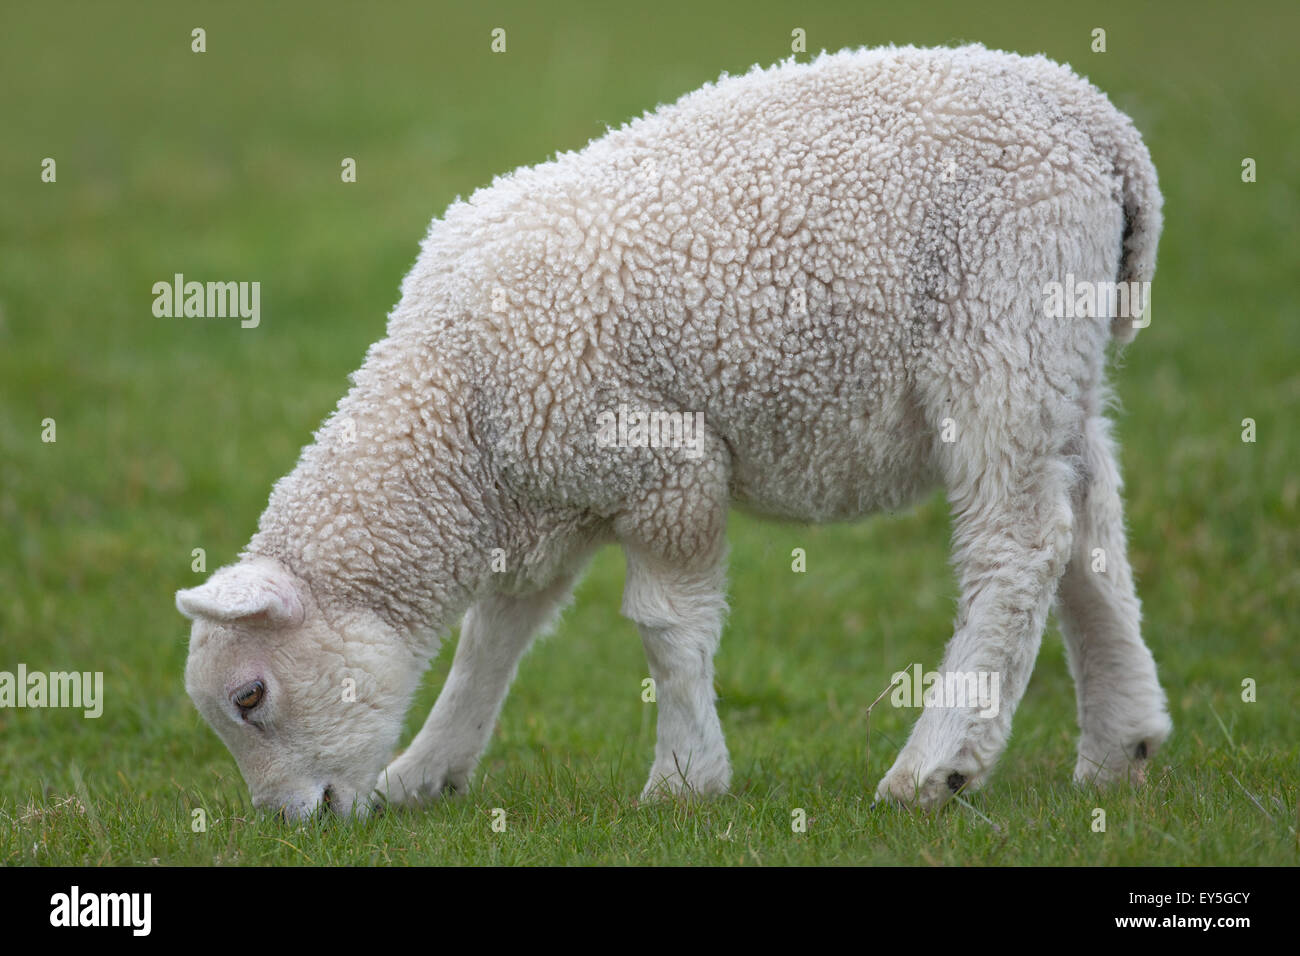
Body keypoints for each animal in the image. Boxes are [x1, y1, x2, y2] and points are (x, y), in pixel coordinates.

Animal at [178, 44, 1175, 816]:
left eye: (250, 696)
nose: (289, 819)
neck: (457, 415)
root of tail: (1099, 128)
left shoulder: (661, 465)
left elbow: (666, 626)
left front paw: (685, 779)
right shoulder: (552, 492)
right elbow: (497, 634)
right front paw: (427, 772)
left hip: (1000, 334)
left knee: (1018, 546)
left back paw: (936, 768)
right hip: (1059, 357)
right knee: (1089, 525)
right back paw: (1121, 744)